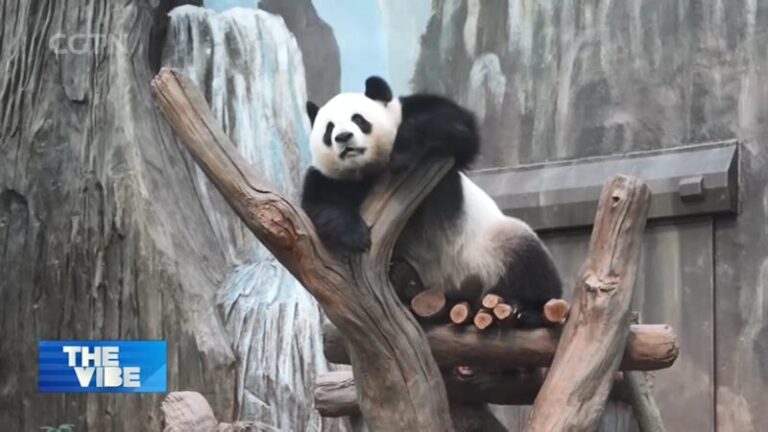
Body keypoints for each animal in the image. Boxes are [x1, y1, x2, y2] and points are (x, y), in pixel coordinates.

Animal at [301, 76, 562, 326]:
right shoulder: (333, 179)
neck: (368, 170)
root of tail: (455, 293)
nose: (343, 137)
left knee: (529, 259)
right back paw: (403, 277)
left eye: (358, 119)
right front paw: (355, 236)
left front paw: (400, 155)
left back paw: (529, 310)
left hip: (490, 247)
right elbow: (320, 205)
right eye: (329, 129)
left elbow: (453, 123)